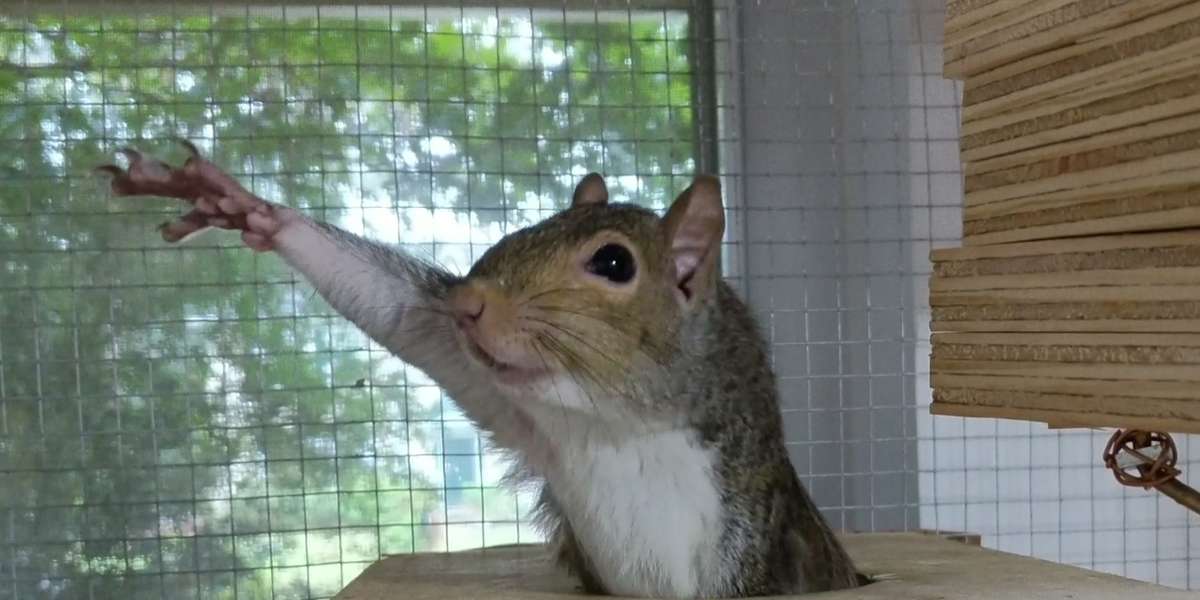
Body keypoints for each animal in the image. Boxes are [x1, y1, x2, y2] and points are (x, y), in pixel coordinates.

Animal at [98, 141, 861, 599]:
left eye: (615, 262)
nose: (467, 303)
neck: (616, 427)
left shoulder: (745, 535)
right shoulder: (528, 419)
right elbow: (408, 317)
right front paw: (245, 206)